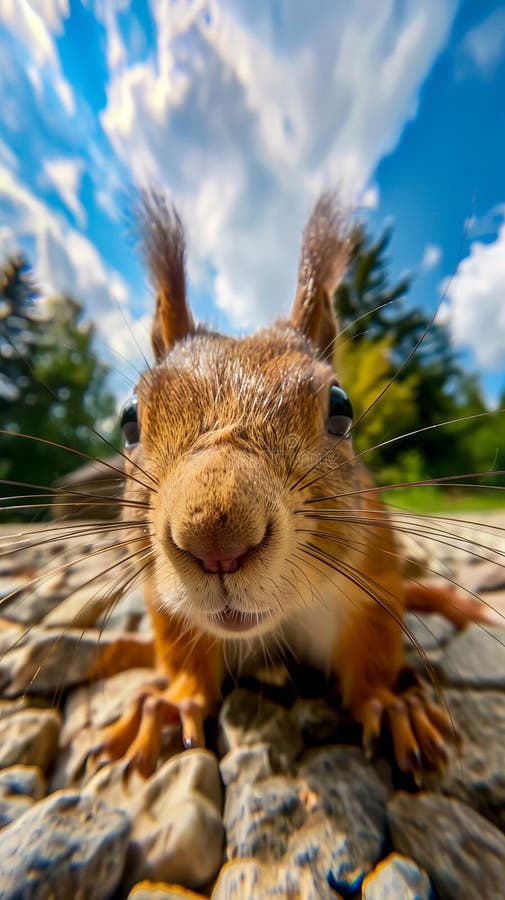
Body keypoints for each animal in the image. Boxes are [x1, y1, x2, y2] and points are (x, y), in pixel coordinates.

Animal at [90, 191, 490, 779]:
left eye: (341, 408)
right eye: (128, 419)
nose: (216, 545)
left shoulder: (375, 584)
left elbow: (373, 654)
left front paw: (392, 707)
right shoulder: (164, 599)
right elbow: (185, 658)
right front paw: (169, 702)